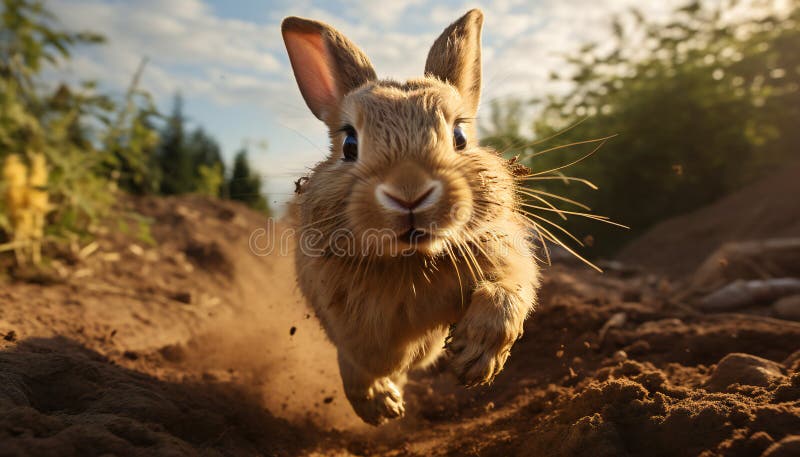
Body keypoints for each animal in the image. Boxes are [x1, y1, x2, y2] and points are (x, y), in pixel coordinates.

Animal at [281, 9, 540, 425]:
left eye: (459, 137)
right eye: (350, 144)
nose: (409, 191)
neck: (412, 261)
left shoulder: (505, 261)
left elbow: (507, 296)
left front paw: (473, 359)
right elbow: (359, 362)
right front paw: (381, 406)